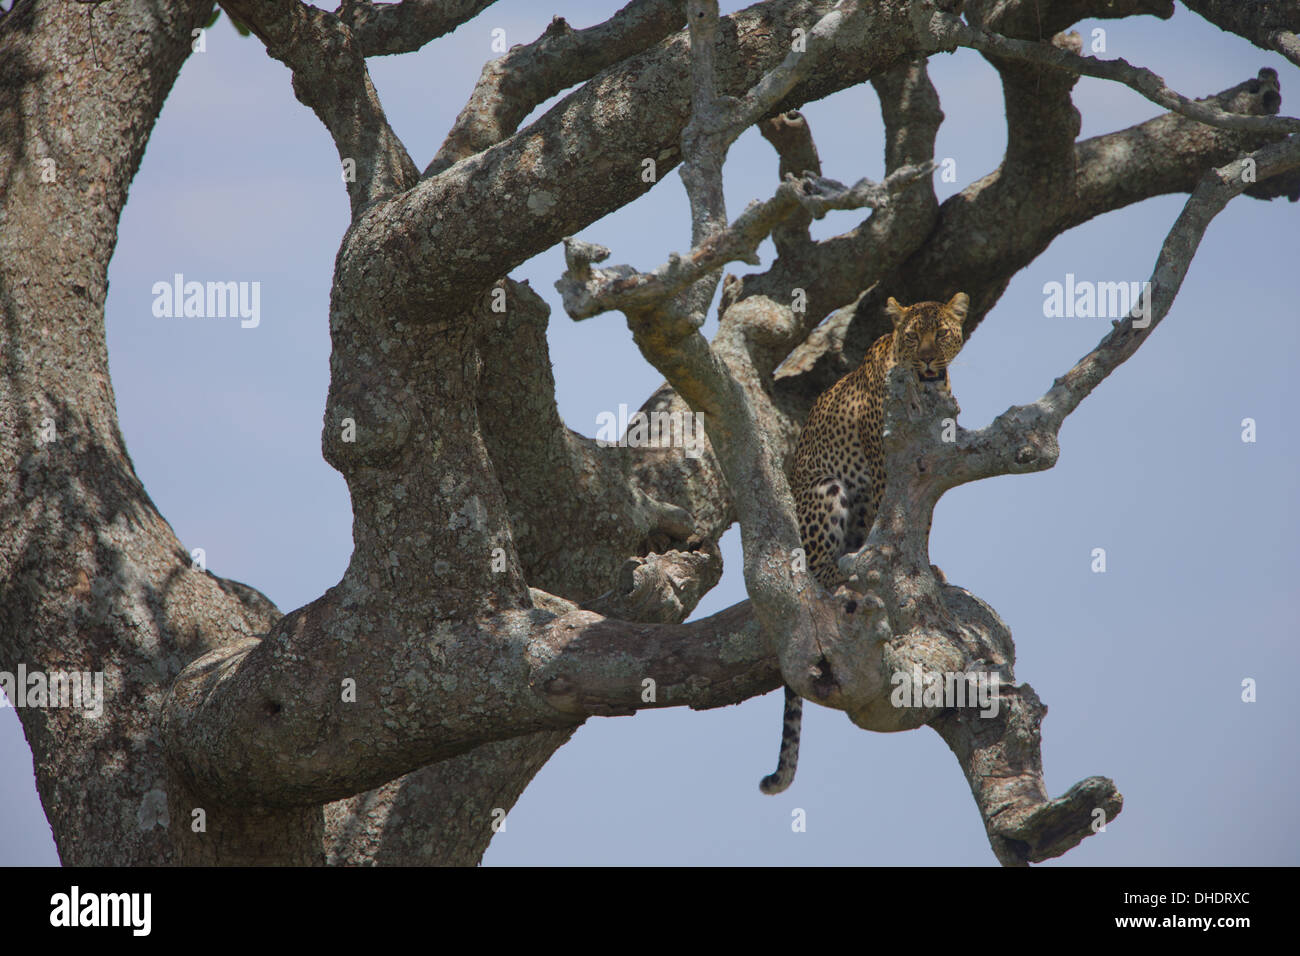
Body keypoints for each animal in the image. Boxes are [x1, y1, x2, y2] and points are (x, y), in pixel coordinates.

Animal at [759, 292, 969, 795]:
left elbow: (919, 521)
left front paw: (927, 569)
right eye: (912, 336)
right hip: (826, 488)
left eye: (942, 334)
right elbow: (892, 520)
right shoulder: (883, 465)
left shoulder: (928, 464)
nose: (927, 359)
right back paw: (841, 566)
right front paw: (896, 568)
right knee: (817, 565)